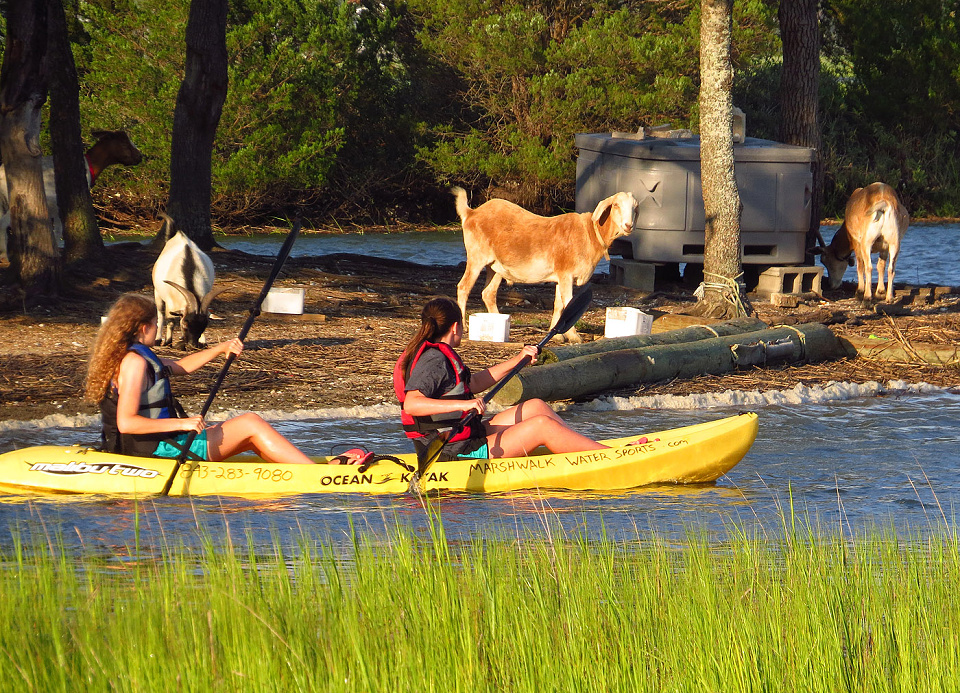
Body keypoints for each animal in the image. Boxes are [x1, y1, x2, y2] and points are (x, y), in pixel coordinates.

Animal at [0, 130, 143, 261]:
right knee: (4, 223)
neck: (90, 166)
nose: (139, 156)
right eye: (124, 142)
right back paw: (5, 256)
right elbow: (58, 232)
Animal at [152, 218, 225, 349]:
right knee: (160, 314)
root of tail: (179, 234)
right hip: (158, 293)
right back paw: (158, 339)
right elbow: (170, 321)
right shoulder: (170, 302)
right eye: (185, 325)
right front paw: (168, 342)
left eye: (203, 326)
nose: (192, 345)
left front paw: (202, 342)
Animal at [454, 187, 639, 343]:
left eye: (635, 207)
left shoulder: (561, 276)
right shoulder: (566, 273)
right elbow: (568, 303)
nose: (628, 226)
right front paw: (574, 336)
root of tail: (471, 212)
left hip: (495, 266)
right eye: (616, 205)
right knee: (463, 287)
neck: (589, 233)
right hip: (476, 256)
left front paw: (556, 335)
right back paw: (463, 326)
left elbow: (558, 304)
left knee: (488, 293)